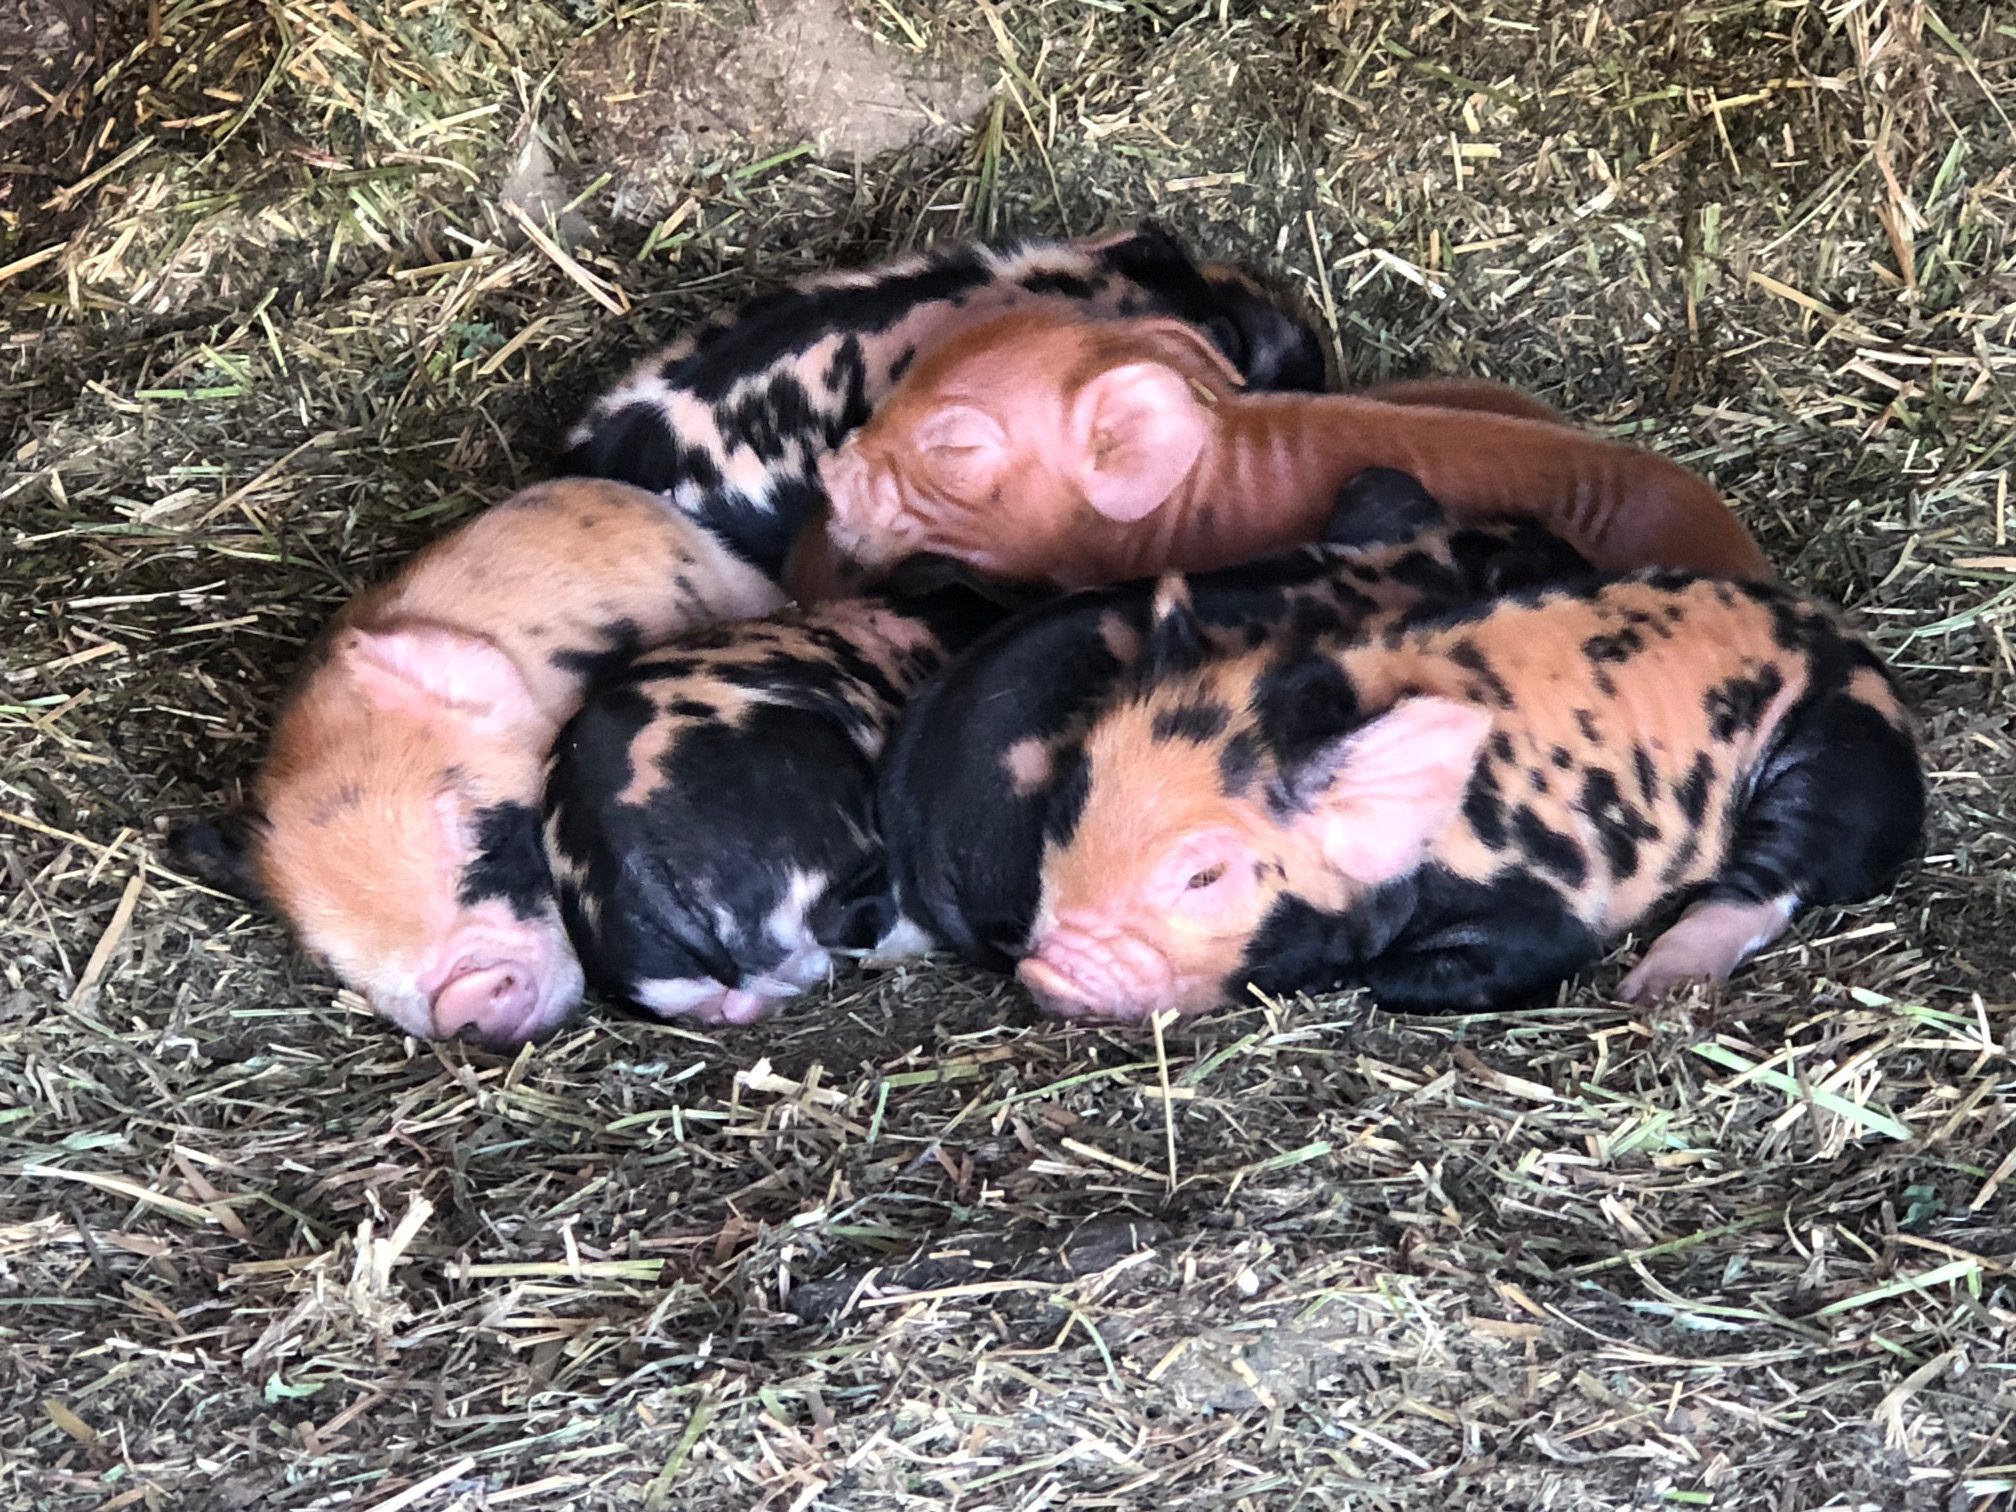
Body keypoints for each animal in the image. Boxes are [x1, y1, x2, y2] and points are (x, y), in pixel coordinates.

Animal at [1015, 571, 1924, 1022]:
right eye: (1062, 814)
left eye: (1202, 877)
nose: (1044, 971)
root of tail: (1850, 643)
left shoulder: (1540, 904)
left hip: (1838, 753)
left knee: (1787, 866)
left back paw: (1657, 986)